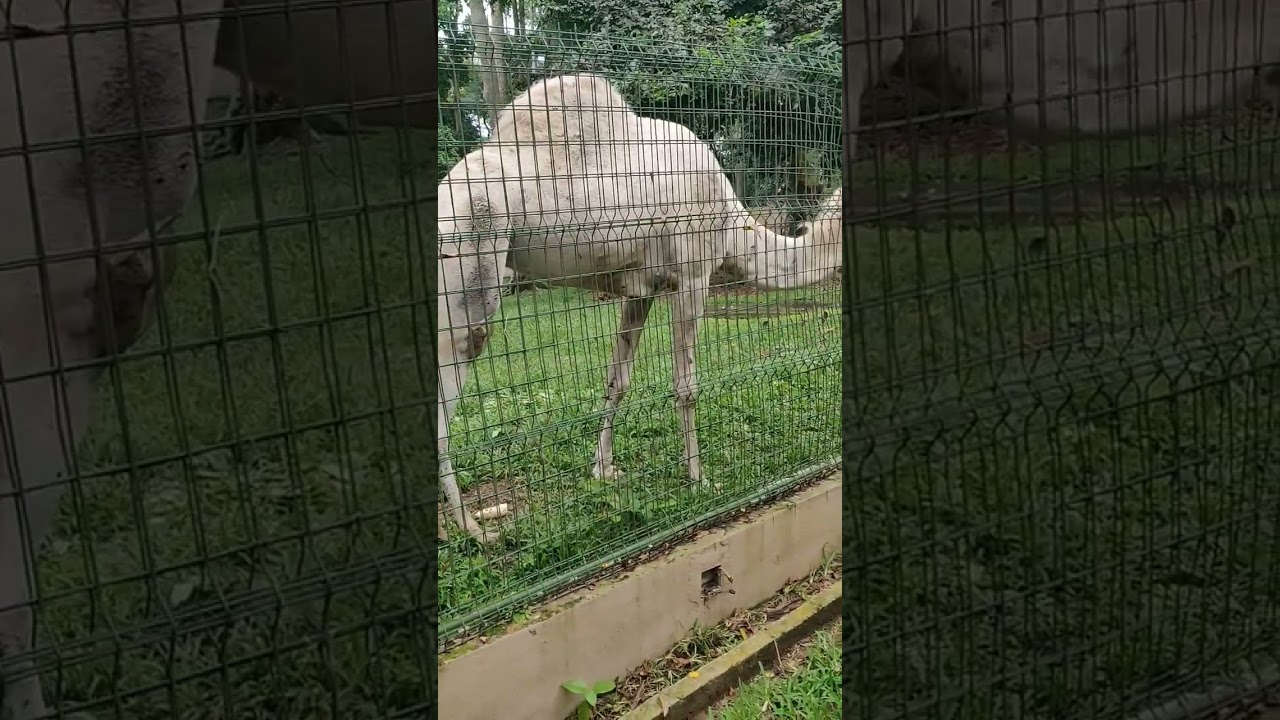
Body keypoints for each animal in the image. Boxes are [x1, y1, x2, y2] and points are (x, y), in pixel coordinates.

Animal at [437, 74, 843, 543]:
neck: (731, 221)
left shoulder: (640, 291)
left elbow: (618, 380)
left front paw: (603, 470)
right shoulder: (692, 276)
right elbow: (686, 386)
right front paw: (698, 479)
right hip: (471, 263)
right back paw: (474, 529)